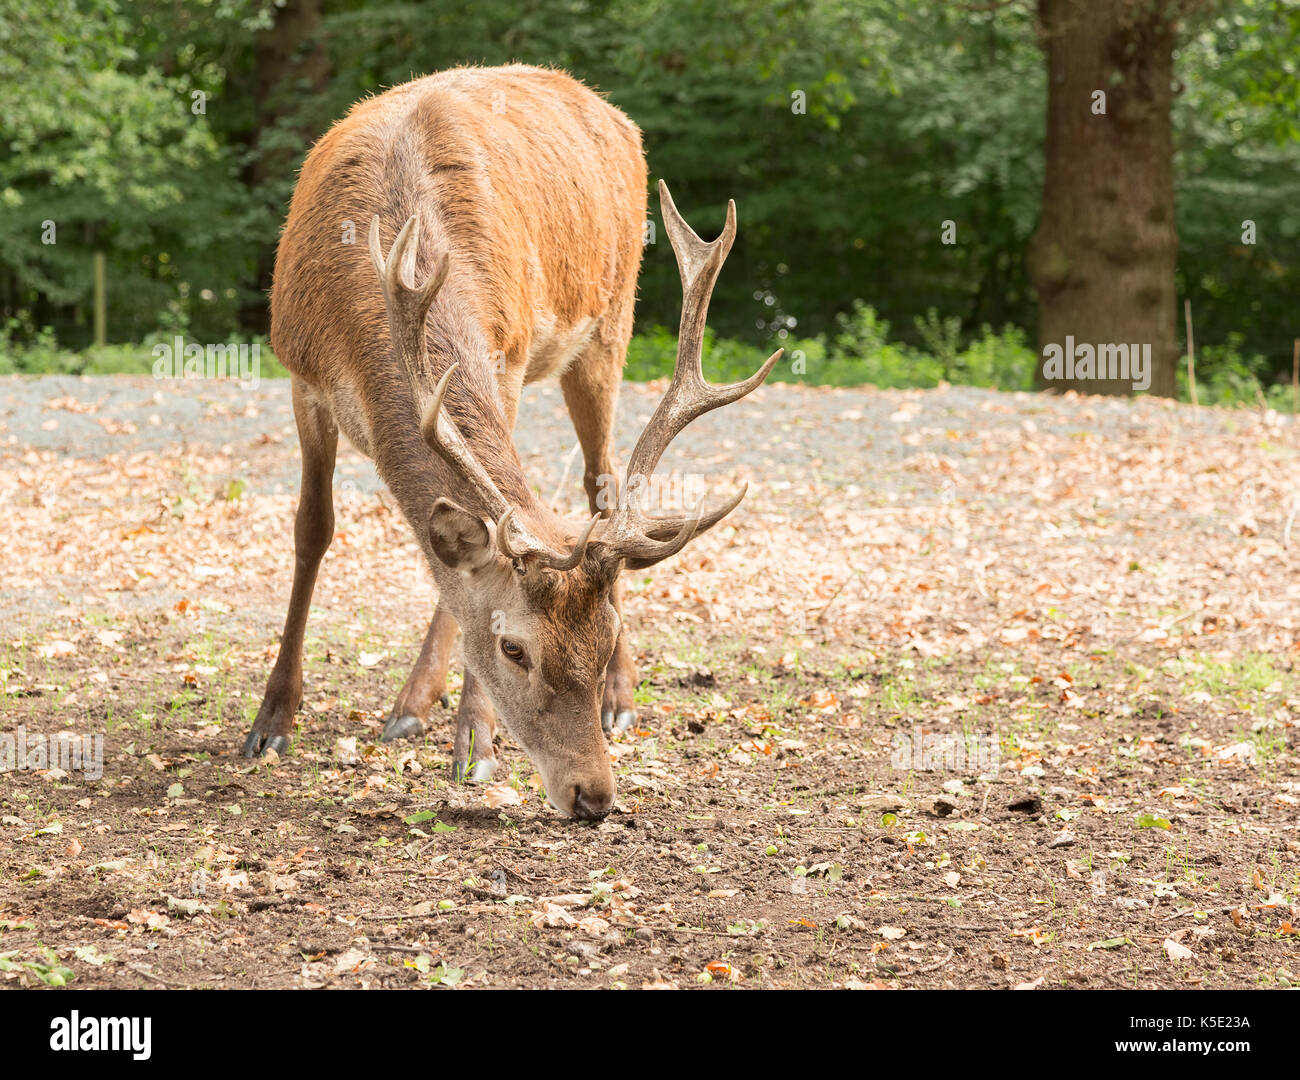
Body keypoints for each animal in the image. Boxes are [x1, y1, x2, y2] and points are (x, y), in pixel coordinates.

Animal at [240, 65, 779, 819]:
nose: (594, 795)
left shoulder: (509, 356)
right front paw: (271, 723)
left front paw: (476, 742)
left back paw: (613, 701)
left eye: (604, 636)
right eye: (515, 650)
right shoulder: (301, 375)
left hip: (608, 327)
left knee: (600, 485)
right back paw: (412, 704)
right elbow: (313, 529)